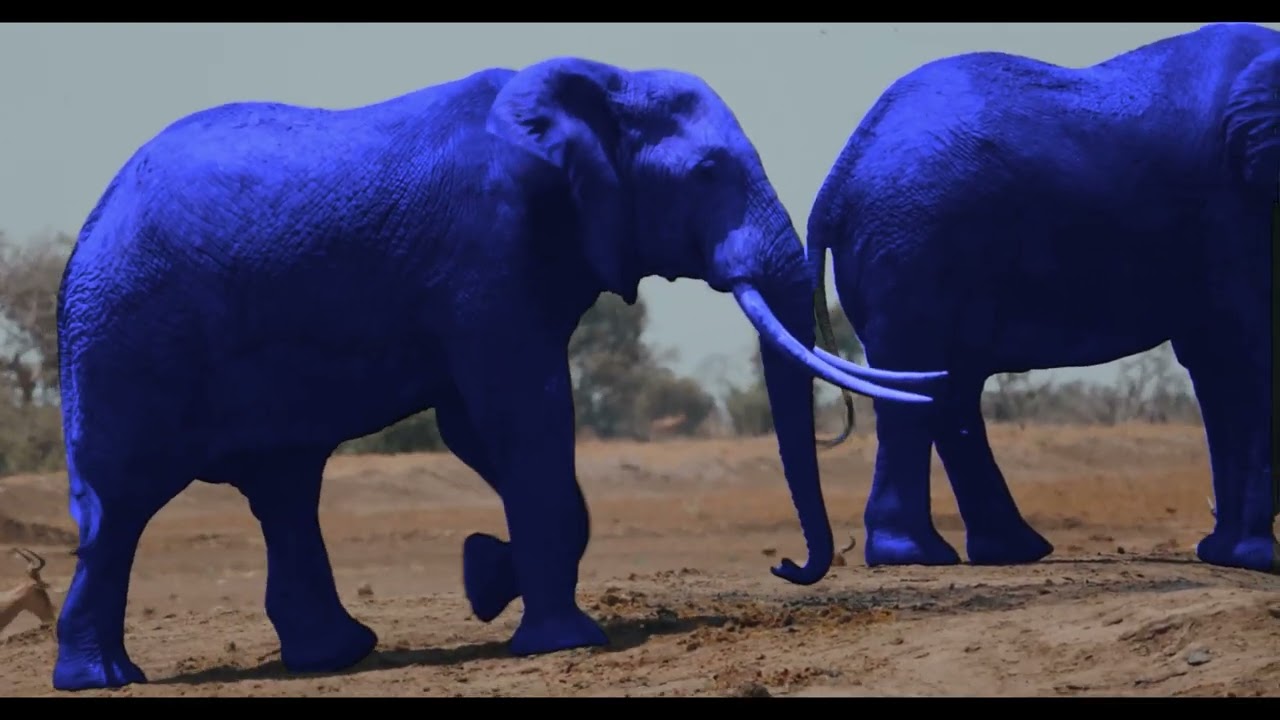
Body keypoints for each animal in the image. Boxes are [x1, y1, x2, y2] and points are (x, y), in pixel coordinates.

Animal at [50, 57, 947, 691]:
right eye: (705, 176)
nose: (785, 566)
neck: (601, 81)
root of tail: (91, 222)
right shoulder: (487, 252)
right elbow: (525, 413)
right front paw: (560, 639)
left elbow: (483, 430)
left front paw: (484, 577)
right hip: (124, 334)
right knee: (120, 504)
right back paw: (104, 680)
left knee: (284, 489)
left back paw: (338, 656)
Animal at [806, 23, 1279, 573]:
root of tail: (838, 174)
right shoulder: (1234, 206)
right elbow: (1249, 350)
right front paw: (1259, 561)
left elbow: (1217, 359)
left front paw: (1224, 557)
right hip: (908, 242)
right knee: (918, 382)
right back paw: (916, 558)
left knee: (949, 388)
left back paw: (1008, 551)